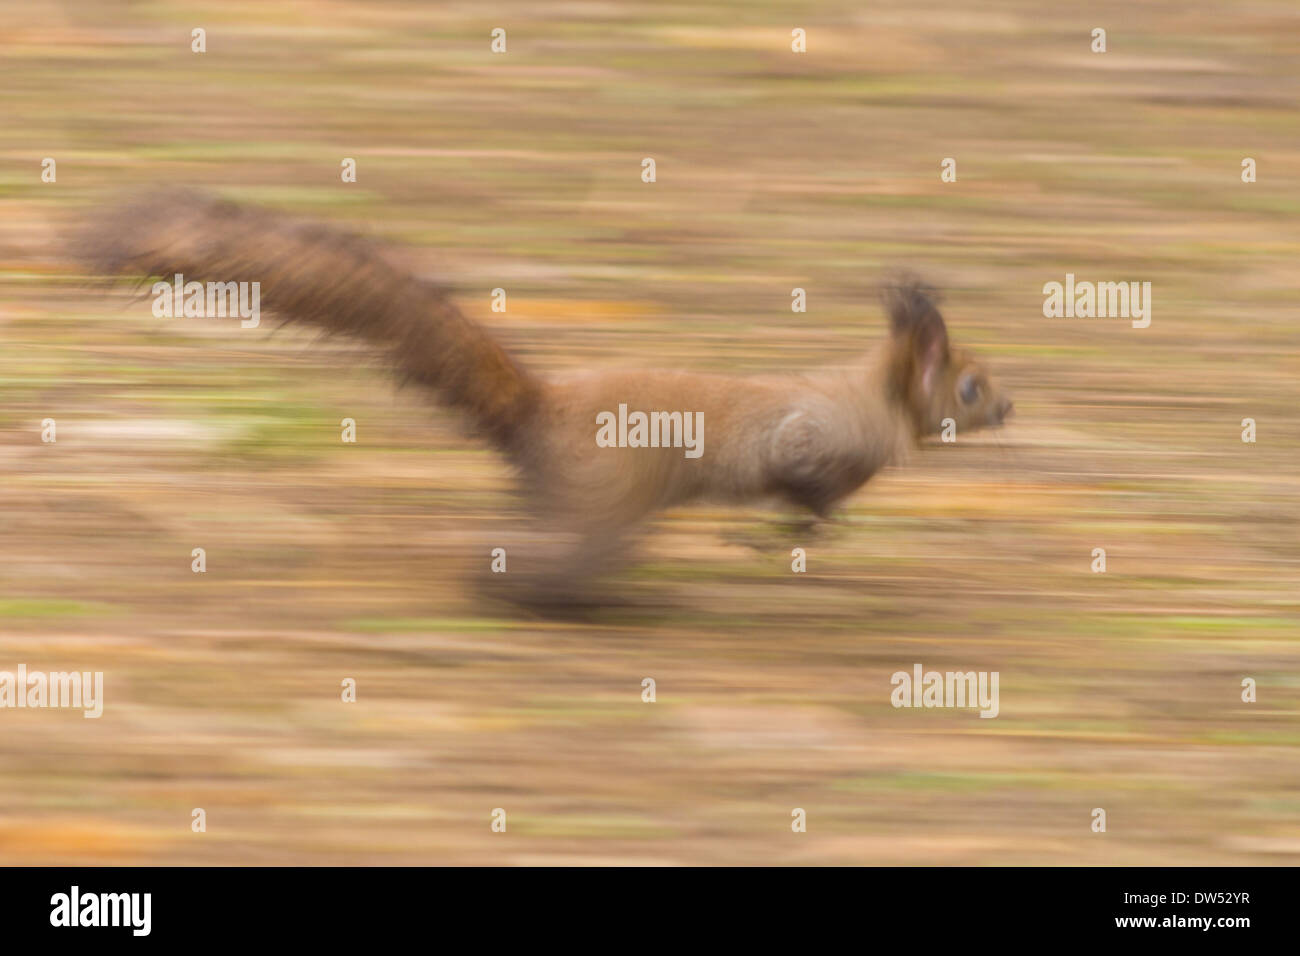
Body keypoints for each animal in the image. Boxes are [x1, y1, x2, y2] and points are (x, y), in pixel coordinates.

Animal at [78, 192, 1013, 604]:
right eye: (971, 385)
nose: (1010, 409)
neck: (875, 403)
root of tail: (538, 408)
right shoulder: (809, 435)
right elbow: (798, 479)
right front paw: (778, 532)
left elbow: (816, 509)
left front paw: (803, 533)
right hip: (604, 500)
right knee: (557, 554)